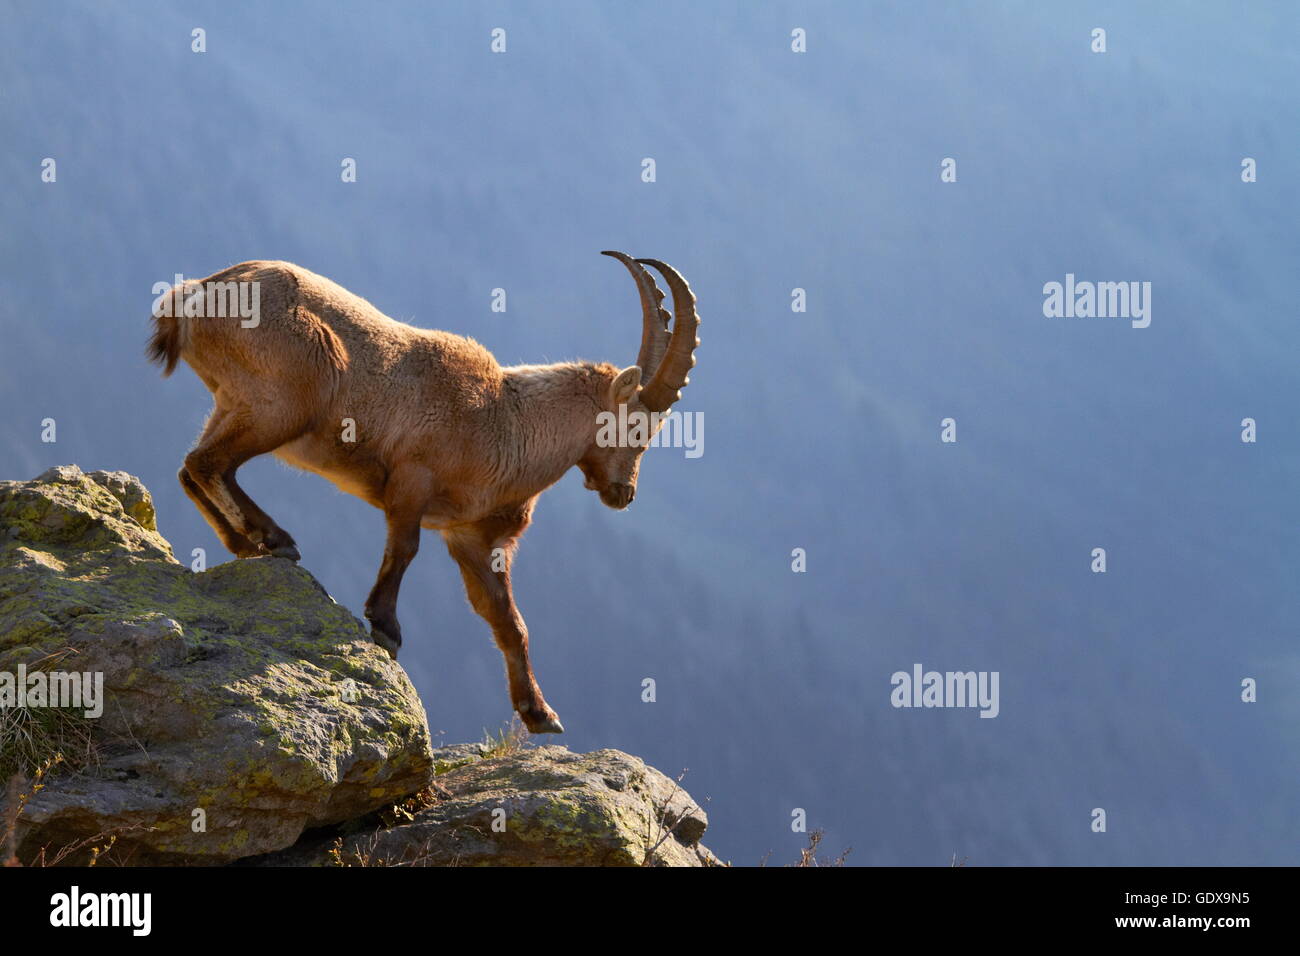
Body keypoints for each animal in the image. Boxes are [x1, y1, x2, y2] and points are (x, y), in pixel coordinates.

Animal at [147, 253, 699, 733]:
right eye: (638, 428)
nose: (623, 493)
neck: (507, 422)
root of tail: (195, 292)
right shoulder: (412, 481)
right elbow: (405, 548)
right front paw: (385, 626)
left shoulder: (471, 538)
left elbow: (507, 620)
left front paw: (540, 713)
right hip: (284, 403)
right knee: (207, 463)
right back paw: (275, 539)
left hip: (235, 403)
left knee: (193, 469)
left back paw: (249, 543)